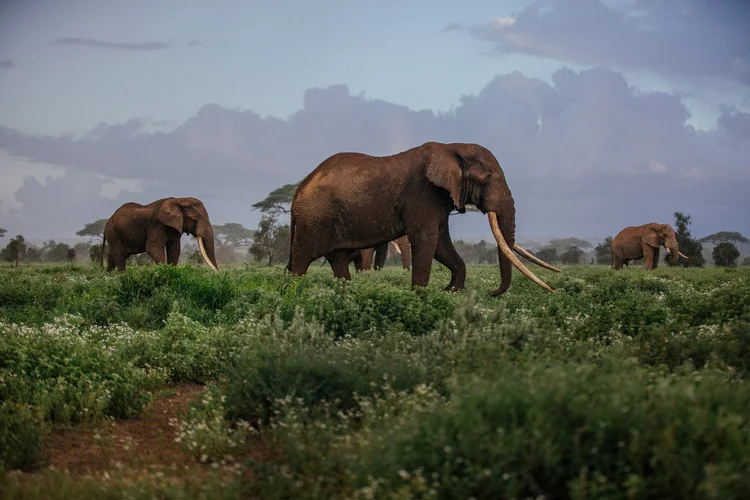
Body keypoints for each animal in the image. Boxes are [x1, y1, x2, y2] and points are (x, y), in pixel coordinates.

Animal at [287, 141, 559, 295]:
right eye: (489, 177)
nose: (492, 293)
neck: (451, 148)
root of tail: (298, 191)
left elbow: (441, 243)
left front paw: (452, 291)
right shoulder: (423, 193)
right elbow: (427, 239)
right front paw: (419, 294)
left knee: (338, 260)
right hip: (314, 219)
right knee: (301, 260)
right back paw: (295, 292)